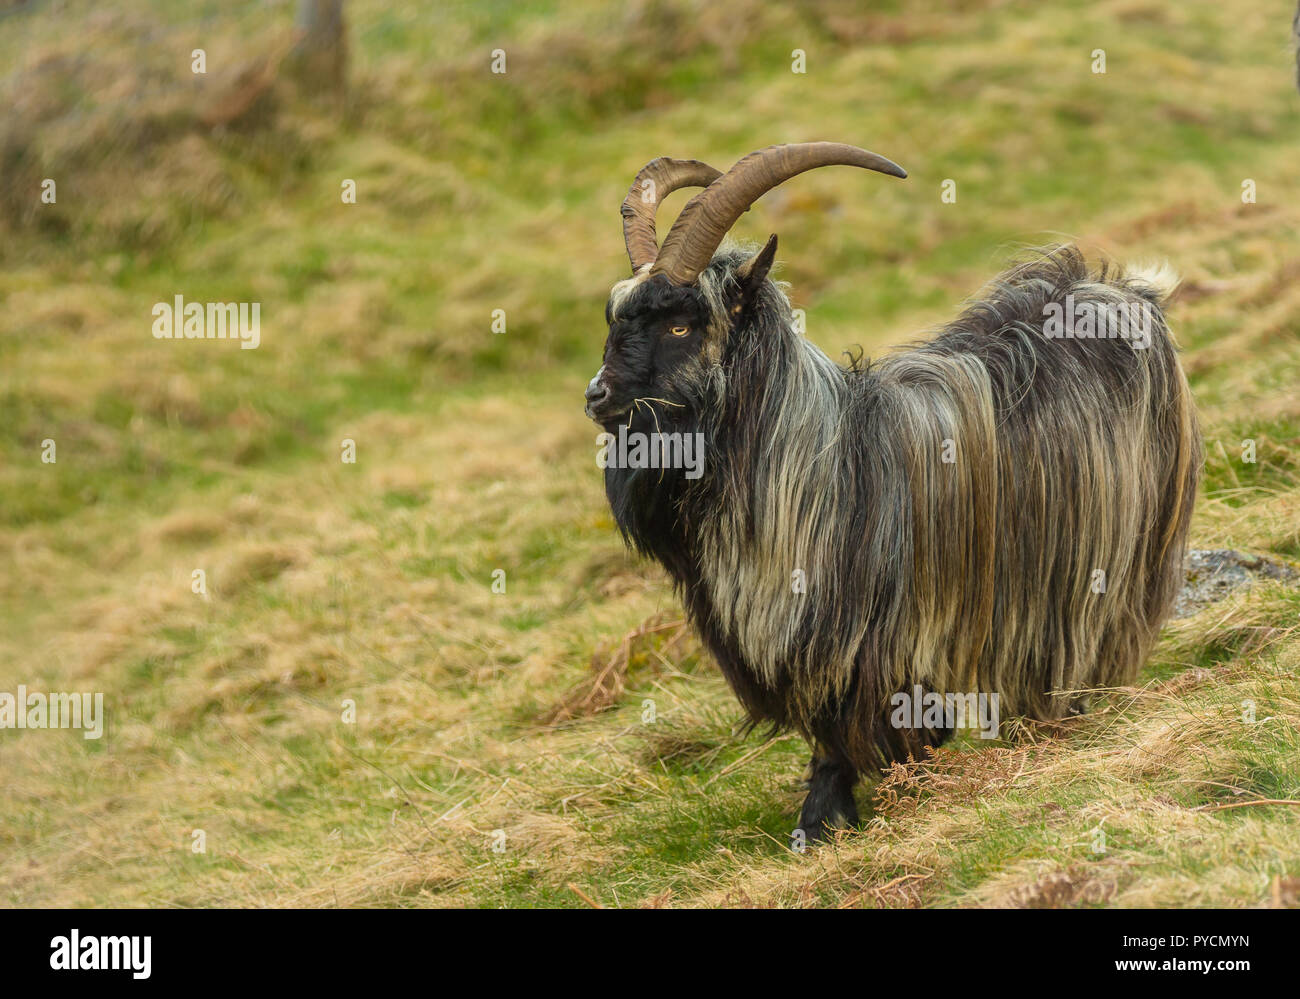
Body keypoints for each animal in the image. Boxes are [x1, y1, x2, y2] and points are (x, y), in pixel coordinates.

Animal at [585, 143, 1202, 843]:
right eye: (616, 317)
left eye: (683, 326)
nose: (597, 396)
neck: (824, 463)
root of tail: (1124, 291)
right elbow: (829, 735)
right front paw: (818, 823)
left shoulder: (887, 636)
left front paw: (883, 799)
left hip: (1118, 553)